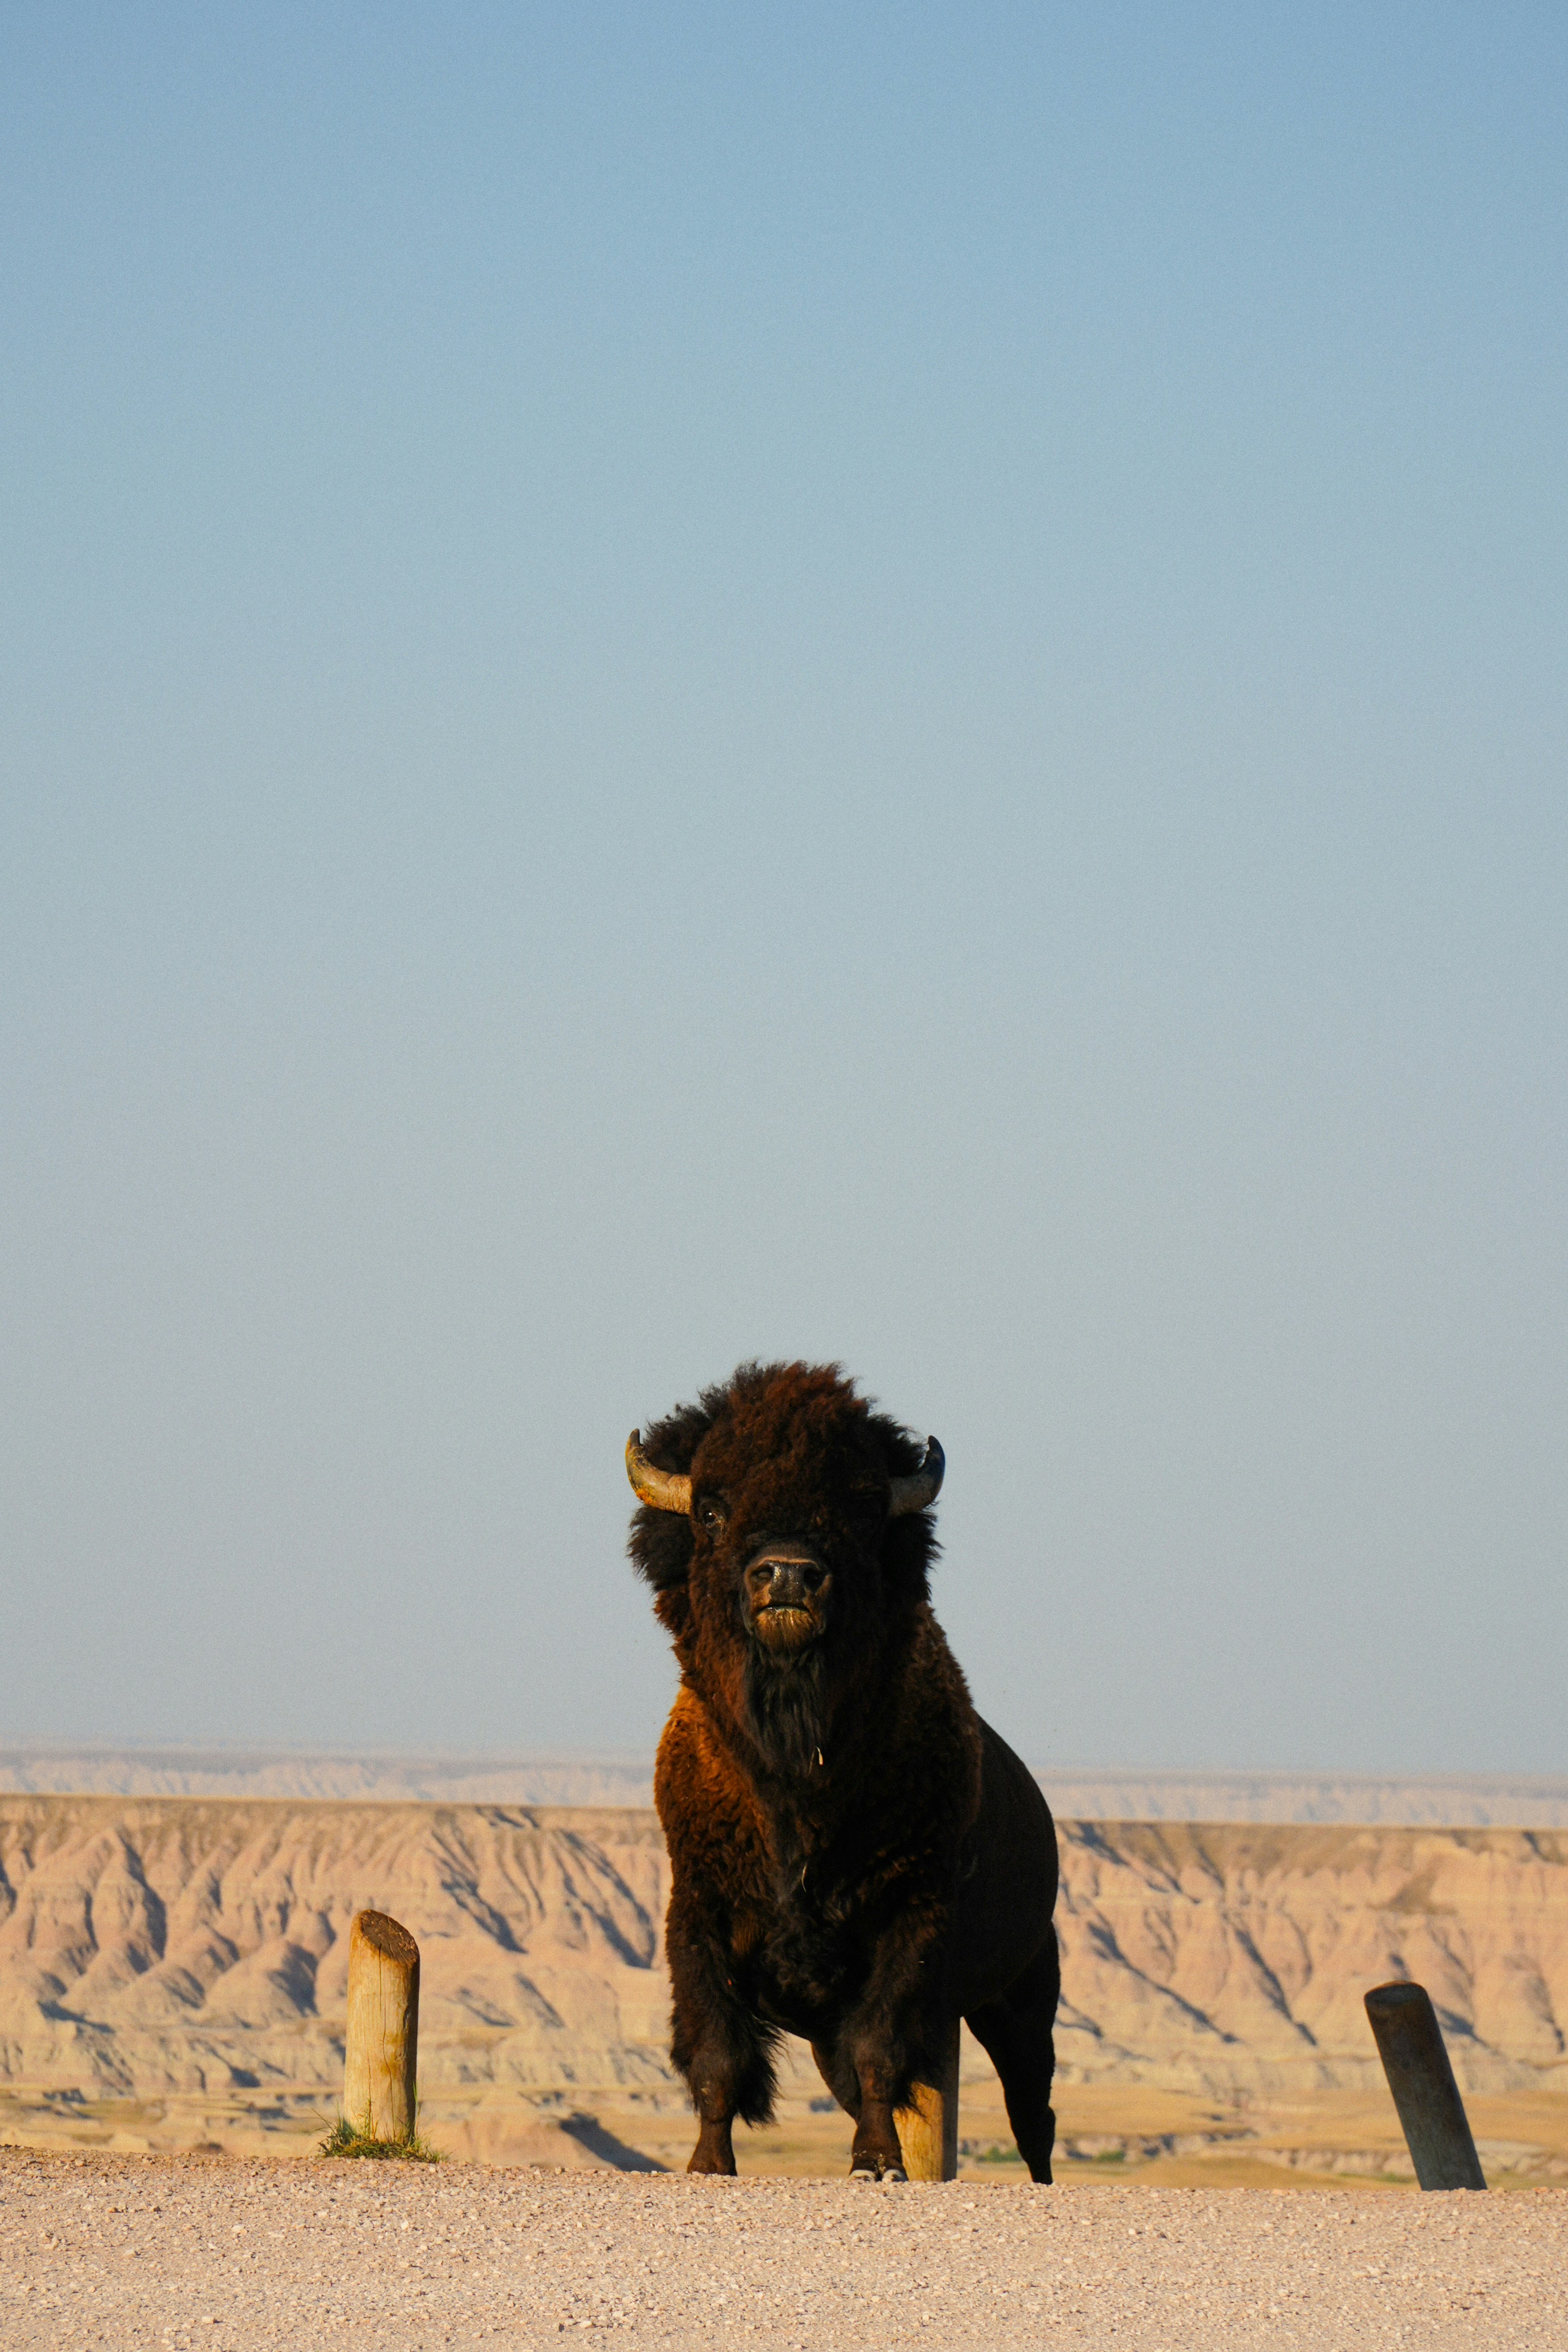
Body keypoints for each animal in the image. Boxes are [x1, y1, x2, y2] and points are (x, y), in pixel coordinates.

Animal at [627, 1360, 1058, 2180]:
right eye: (711, 1509)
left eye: (858, 1513)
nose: (788, 1576)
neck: (793, 1782)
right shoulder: (697, 1915)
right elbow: (718, 2057)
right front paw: (709, 2164)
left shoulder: (906, 1920)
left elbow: (880, 2052)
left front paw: (880, 2163)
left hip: (1021, 1994)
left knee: (1034, 2112)